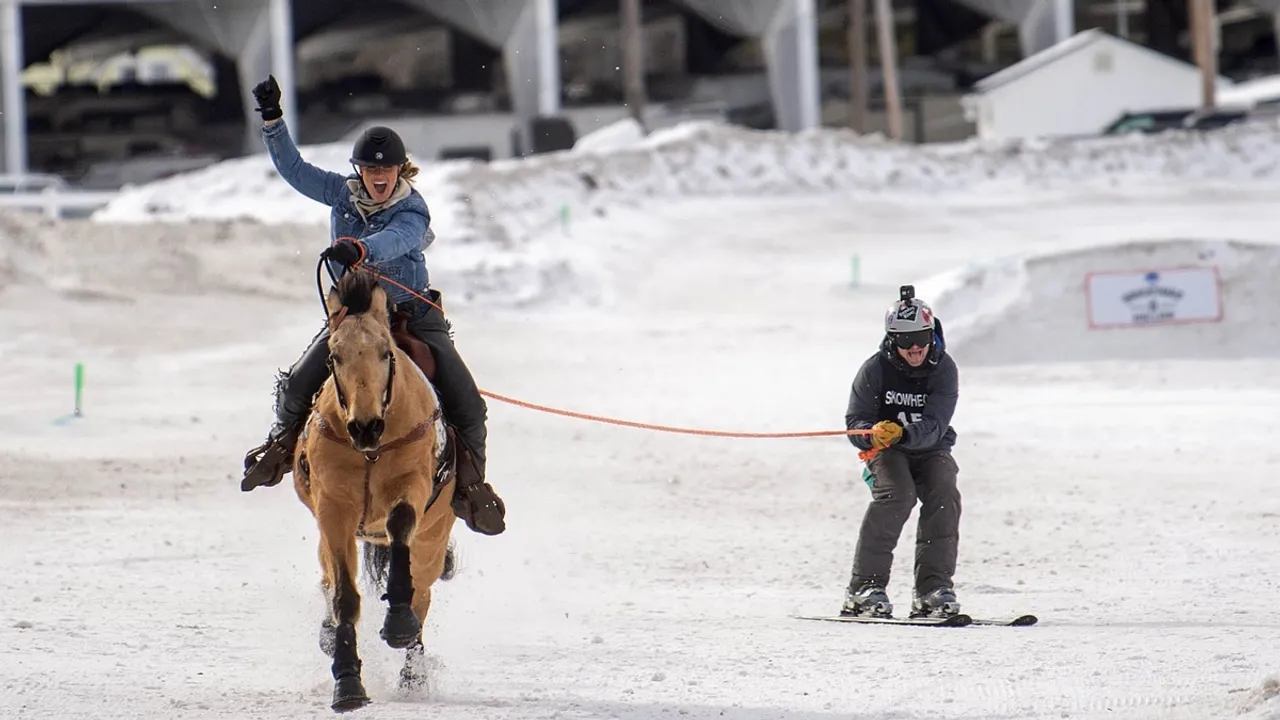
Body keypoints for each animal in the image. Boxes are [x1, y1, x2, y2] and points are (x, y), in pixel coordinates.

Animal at [291, 267, 459, 712]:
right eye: (333, 355)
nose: (365, 427)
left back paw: (413, 673)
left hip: (434, 538)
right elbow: (344, 596)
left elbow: (399, 523)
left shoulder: (412, 485)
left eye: (386, 353)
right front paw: (347, 683)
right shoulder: (333, 510)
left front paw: (398, 624)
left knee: (423, 594)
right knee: (328, 581)